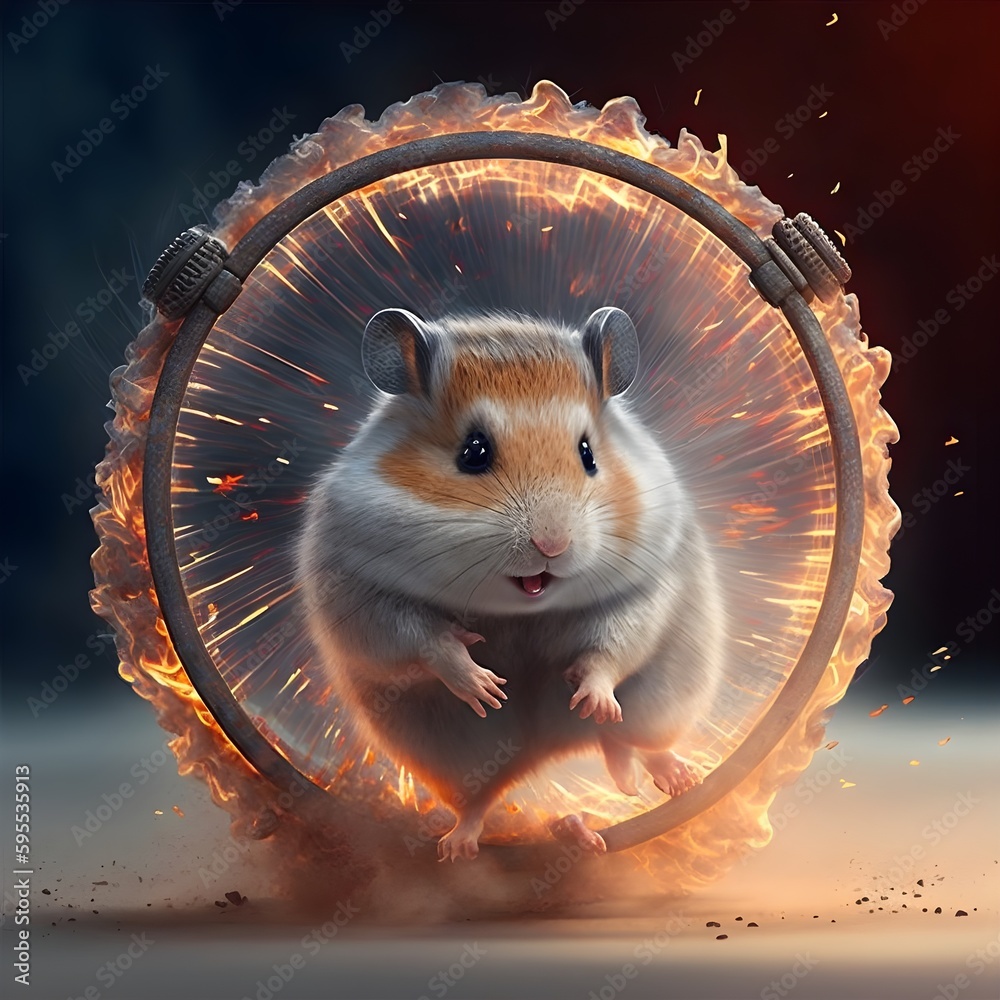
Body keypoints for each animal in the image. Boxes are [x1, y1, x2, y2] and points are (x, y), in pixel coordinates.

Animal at [295, 306, 725, 861]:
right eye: (473, 452)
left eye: (588, 453)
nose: (552, 545)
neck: (522, 607)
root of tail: (549, 749)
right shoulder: (361, 591)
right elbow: (425, 640)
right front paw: (486, 688)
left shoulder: (646, 585)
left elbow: (612, 645)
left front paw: (590, 698)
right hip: (455, 760)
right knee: (480, 799)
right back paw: (458, 846)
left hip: (661, 706)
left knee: (632, 743)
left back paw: (669, 774)